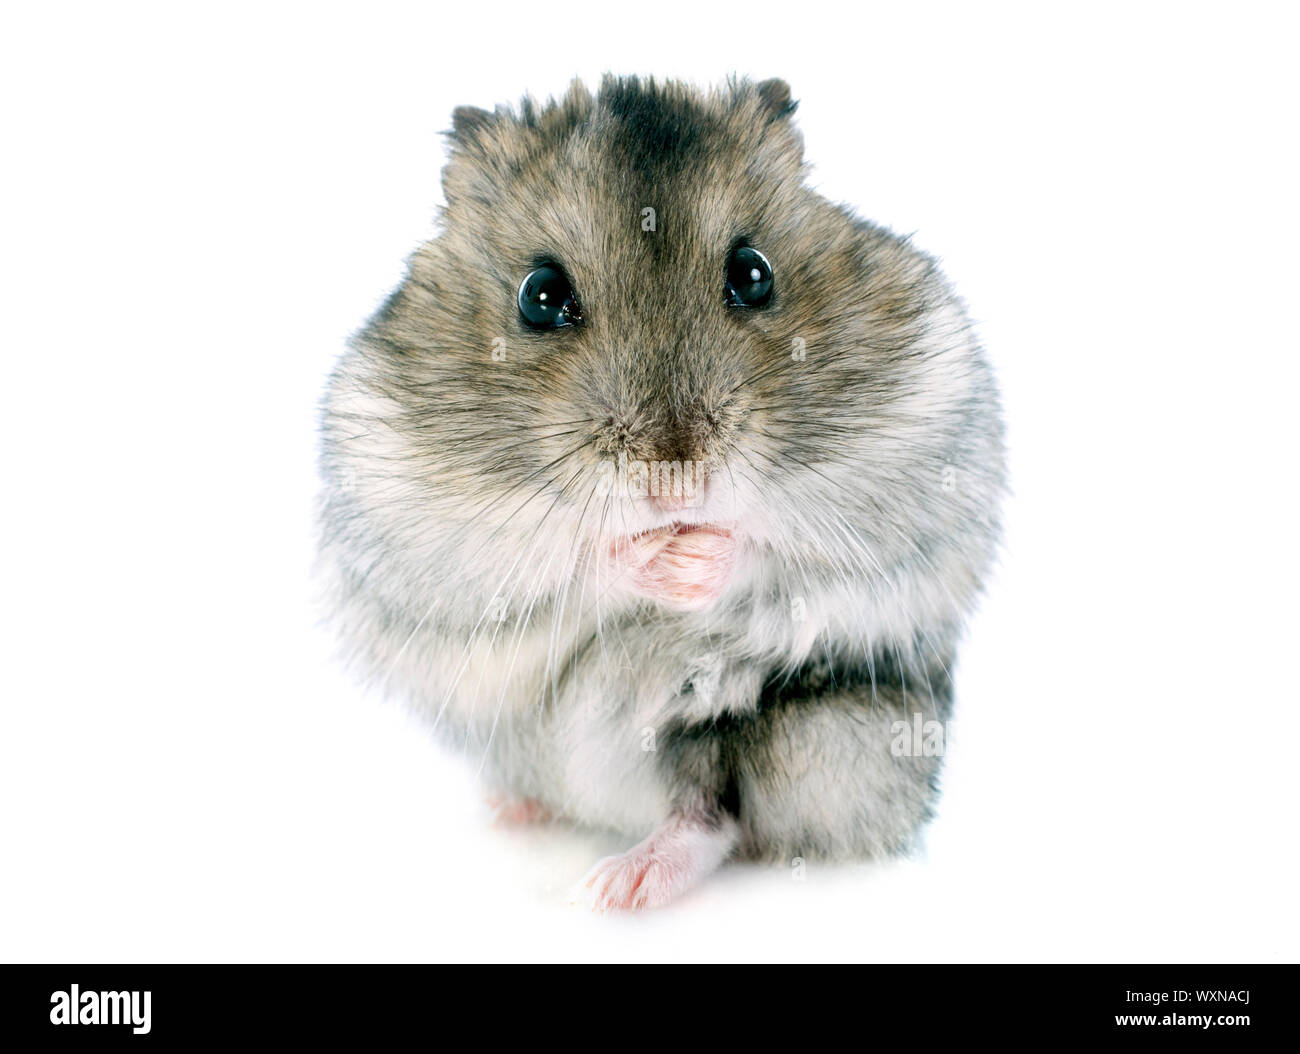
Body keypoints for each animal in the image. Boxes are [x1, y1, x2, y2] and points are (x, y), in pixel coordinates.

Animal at [316, 76, 1006, 910]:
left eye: (753, 273)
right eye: (539, 295)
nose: (678, 482)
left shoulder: (921, 450)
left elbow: (777, 549)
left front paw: (698, 557)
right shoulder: (421, 523)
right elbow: (567, 560)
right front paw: (654, 558)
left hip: (794, 737)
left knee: (711, 813)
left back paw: (621, 884)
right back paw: (515, 813)